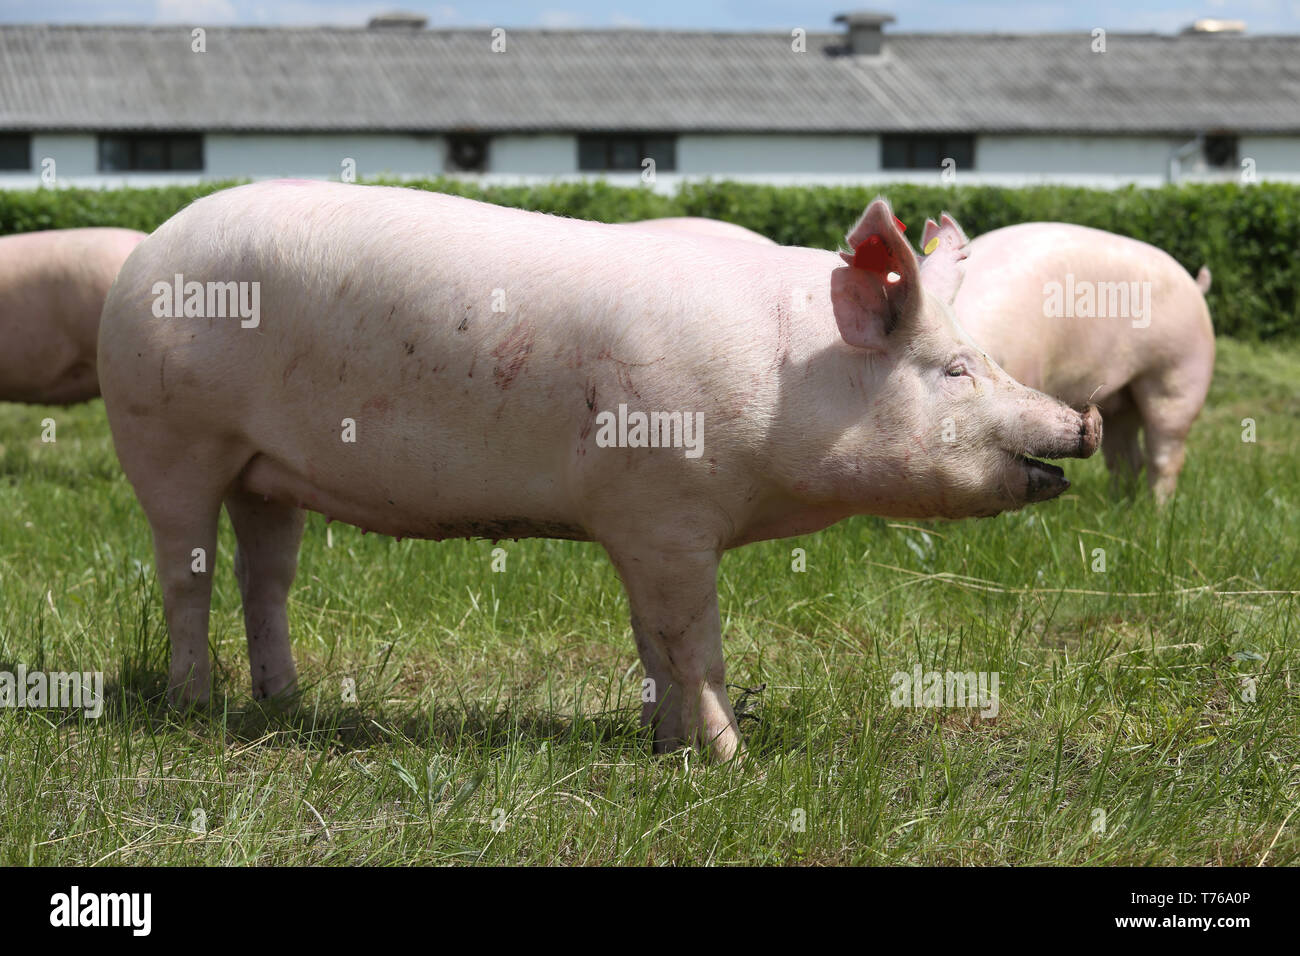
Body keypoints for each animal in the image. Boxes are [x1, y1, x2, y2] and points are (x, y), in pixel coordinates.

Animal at [98, 181, 1100, 761]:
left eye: (981, 357)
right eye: (956, 372)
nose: (1081, 422)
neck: (797, 383)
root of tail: (146, 251)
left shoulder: (633, 520)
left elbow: (652, 642)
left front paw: (664, 747)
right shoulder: (668, 513)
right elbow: (695, 644)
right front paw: (732, 764)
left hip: (263, 470)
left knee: (263, 574)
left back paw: (285, 703)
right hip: (169, 435)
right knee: (185, 571)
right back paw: (194, 706)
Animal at [920, 215, 1214, 502]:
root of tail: (1194, 284)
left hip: (1179, 375)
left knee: (1164, 454)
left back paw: (1157, 508)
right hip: (1120, 400)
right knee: (1125, 458)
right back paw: (1119, 504)